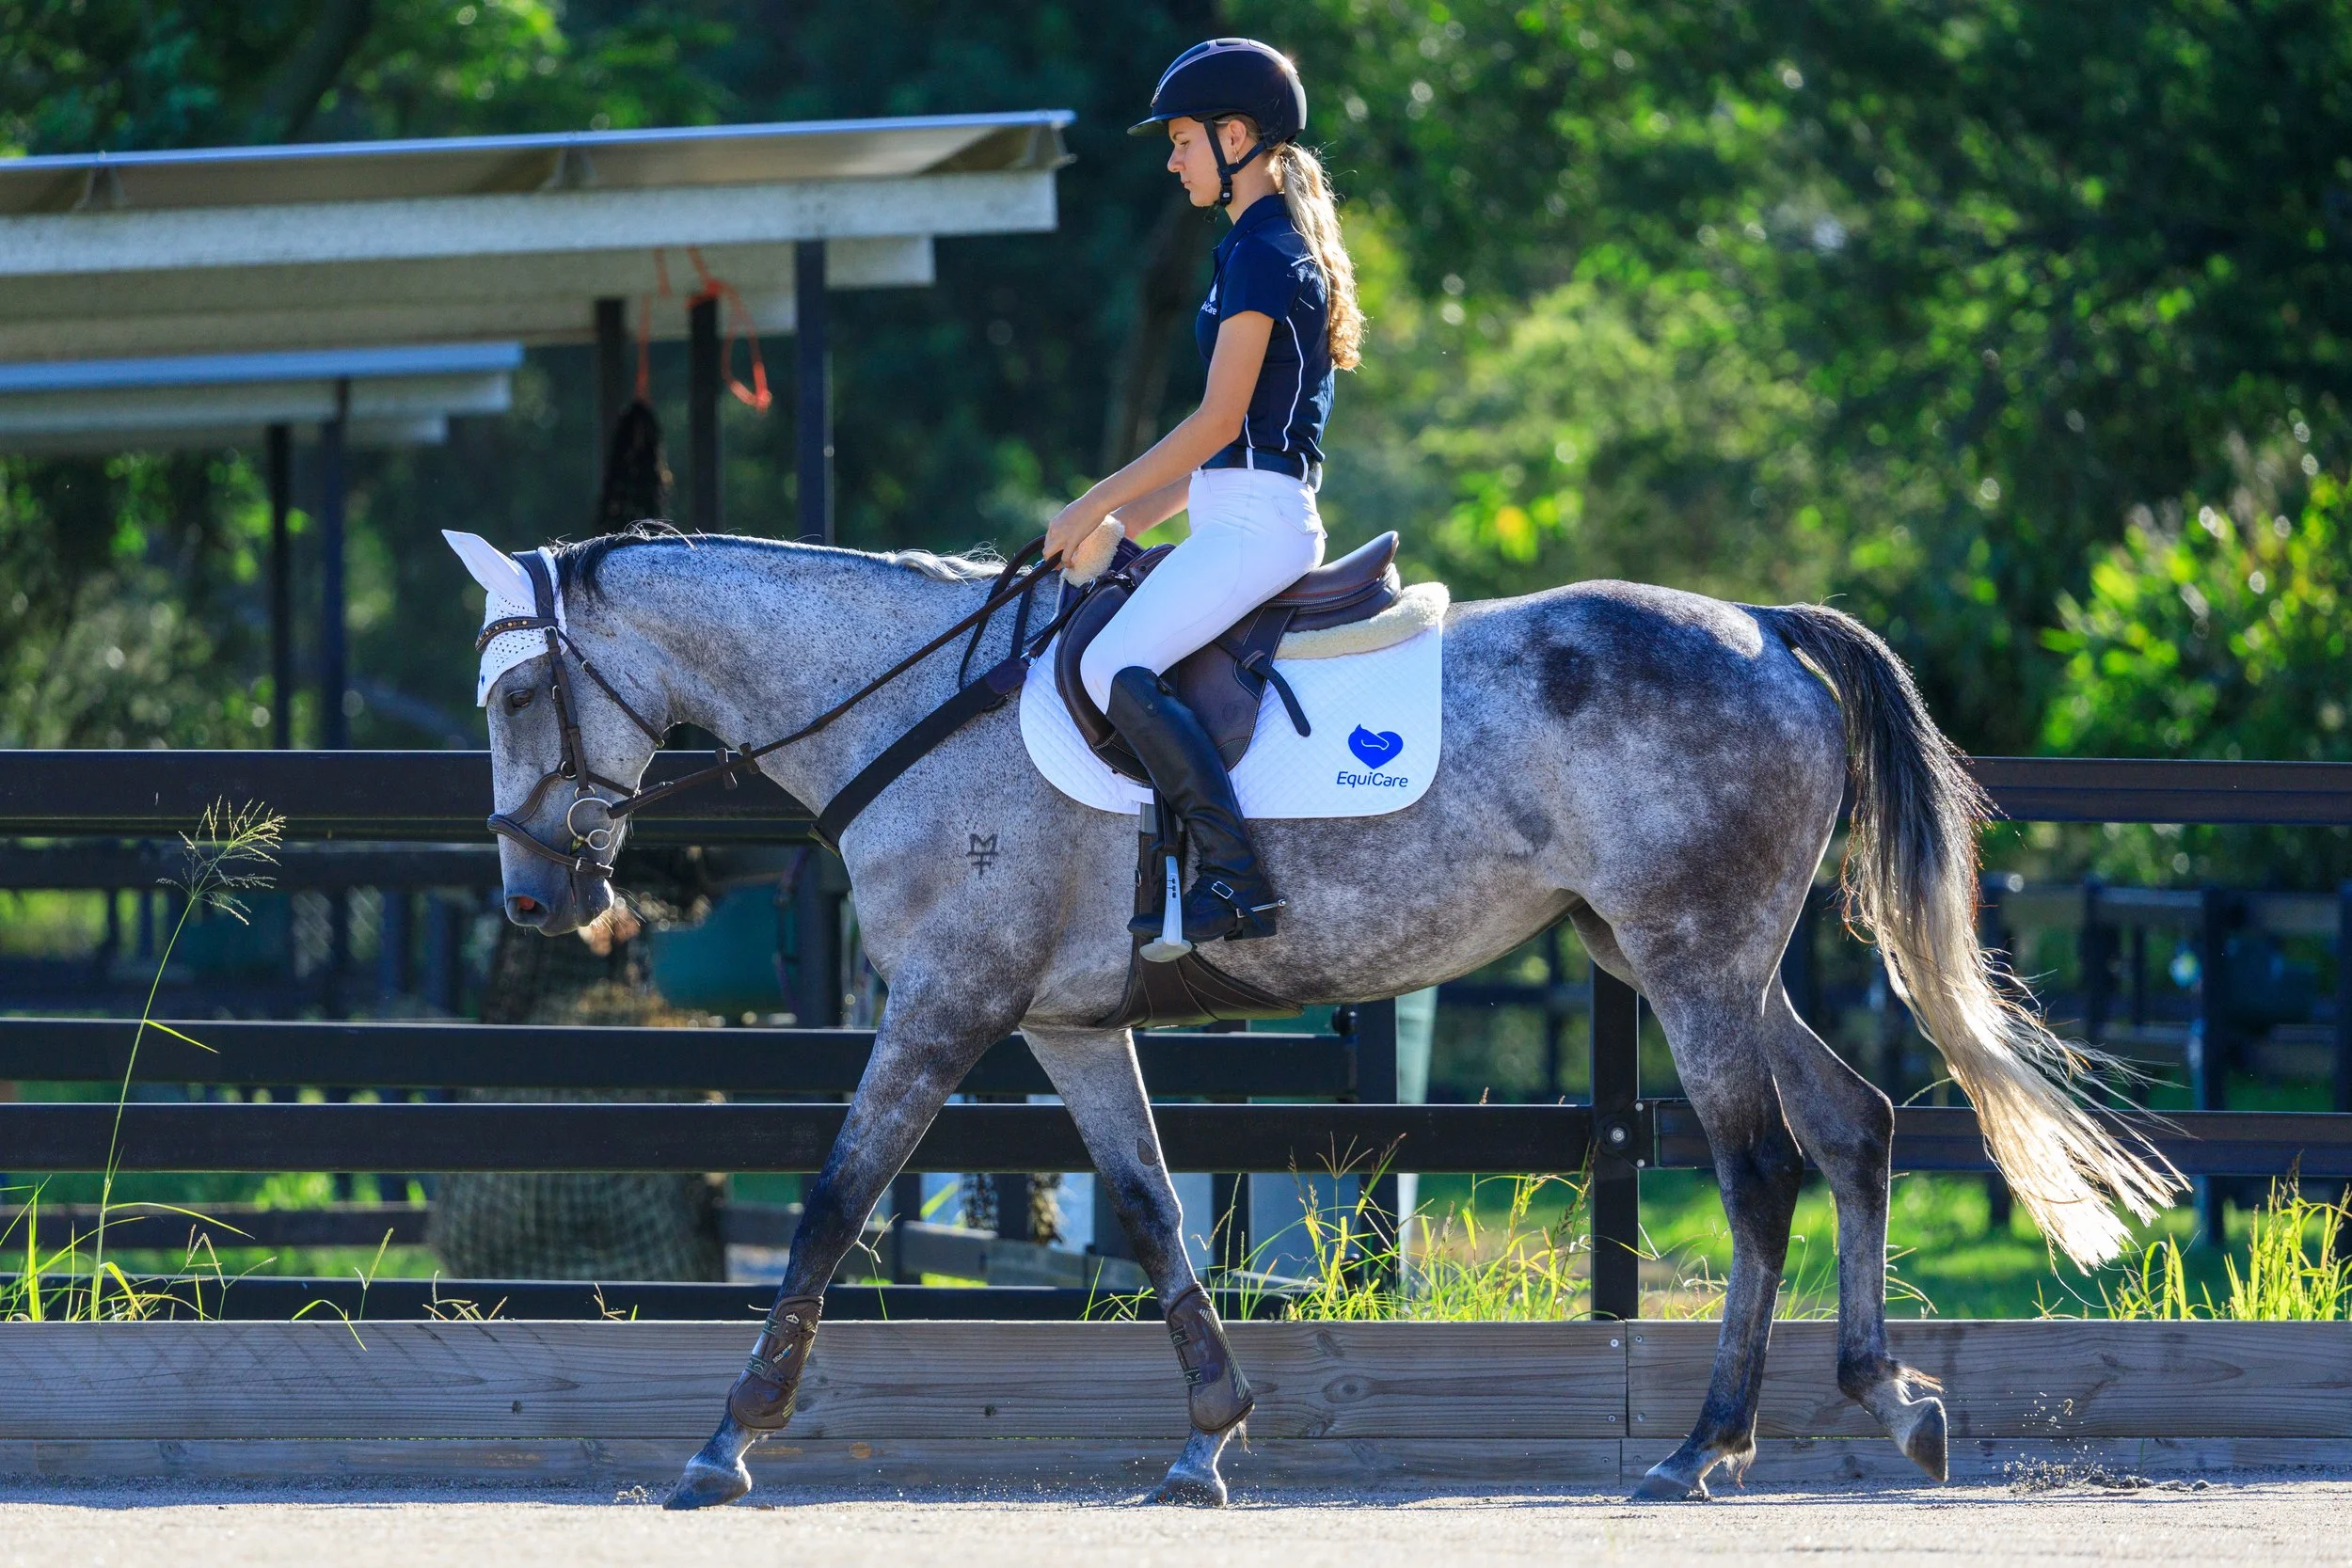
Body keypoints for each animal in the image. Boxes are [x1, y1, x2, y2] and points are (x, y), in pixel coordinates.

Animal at [443, 525, 2180, 1507]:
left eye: (519, 695)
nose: (532, 899)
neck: (913, 704)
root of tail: (1766, 628)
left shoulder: (946, 1001)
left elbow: (828, 1200)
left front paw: (725, 1438)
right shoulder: (1064, 1023)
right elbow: (1150, 1210)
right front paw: (1208, 1438)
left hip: (1690, 962)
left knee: (1762, 1174)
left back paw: (1705, 1446)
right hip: (1692, 960)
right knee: (1857, 1127)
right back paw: (1891, 1400)